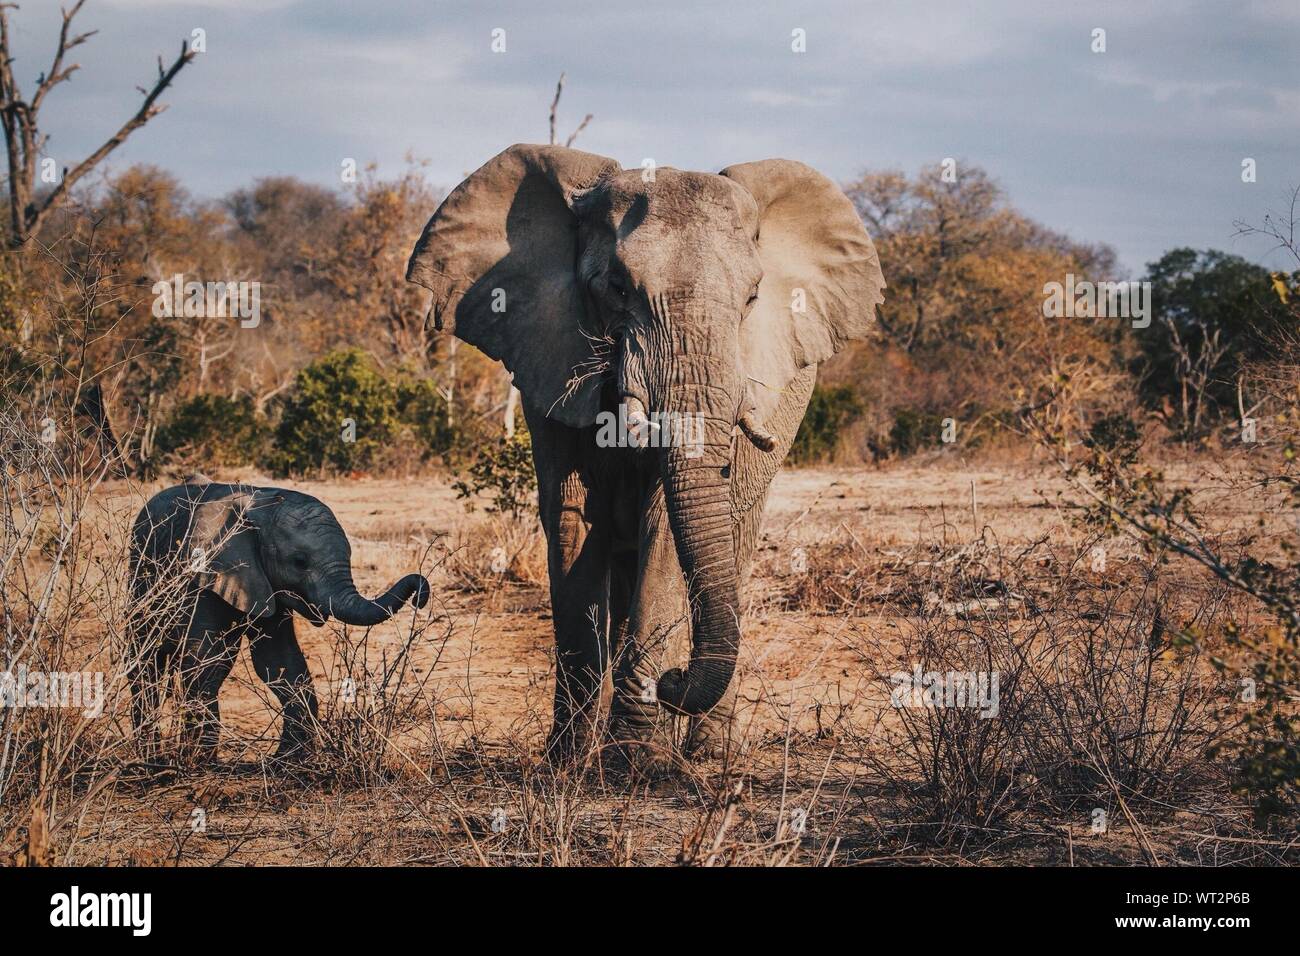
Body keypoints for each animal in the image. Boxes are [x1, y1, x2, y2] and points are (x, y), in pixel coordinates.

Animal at [126, 475, 430, 762]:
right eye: (299, 562)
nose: (420, 594)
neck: (258, 504)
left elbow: (279, 661)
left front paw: (287, 761)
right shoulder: (200, 575)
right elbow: (206, 661)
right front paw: (198, 760)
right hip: (139, 577)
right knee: (145, 662)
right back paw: (151, 756)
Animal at [406, 144, 885, 769]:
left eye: (753, 298)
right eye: (617, 287)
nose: (676, 681)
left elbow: (663, 527)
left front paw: (634, 763)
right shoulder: (549, 359)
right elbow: (574, 521)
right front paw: (568, 763)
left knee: (733, 544)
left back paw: (706, 755)